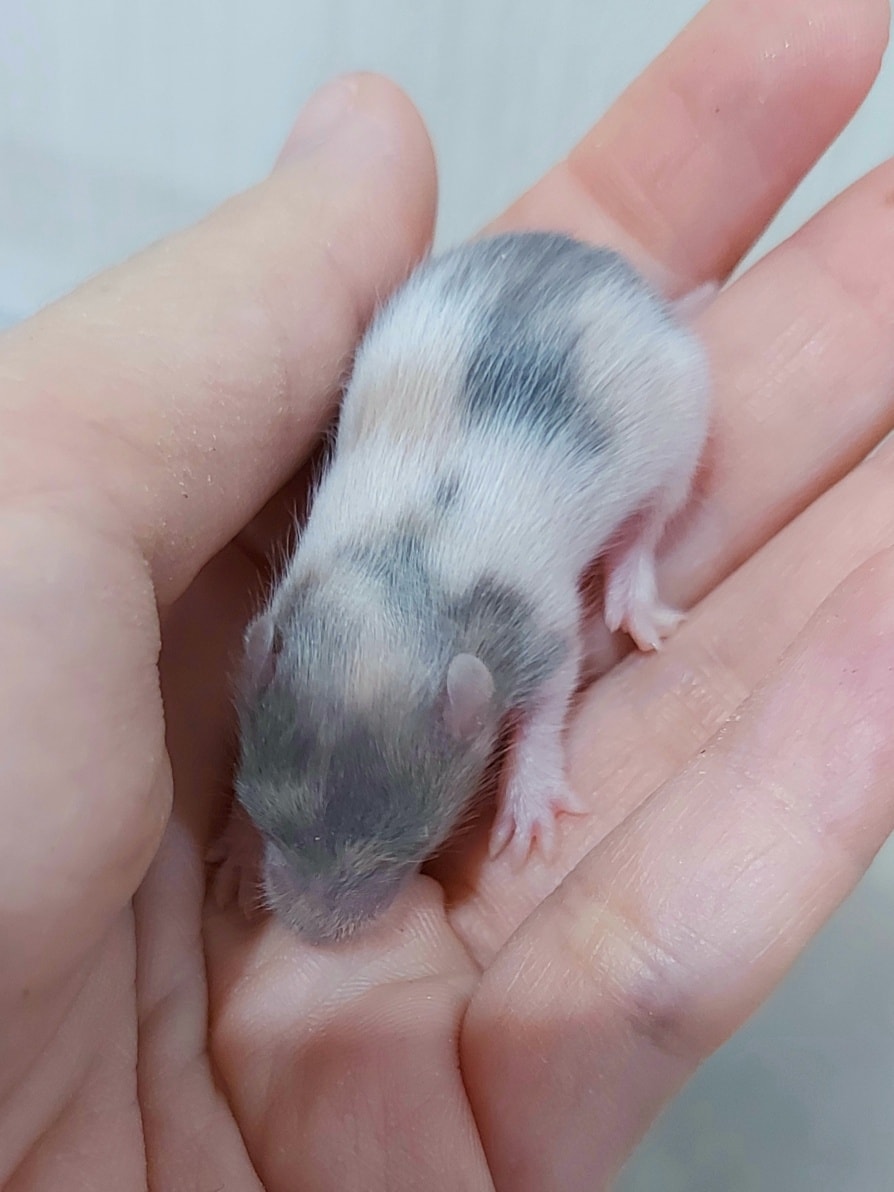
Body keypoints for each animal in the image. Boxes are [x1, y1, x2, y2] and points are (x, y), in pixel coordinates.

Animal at [229, 230, 710, 943]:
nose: (311, 934)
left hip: (683, 429)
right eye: (262, 817)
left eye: (418, 841)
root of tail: (613, 269)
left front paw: (530, 804)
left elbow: (551, 699)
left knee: (652, 520)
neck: (394, 583)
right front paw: (234, 854)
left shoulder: (540, 635)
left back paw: (633, 597)